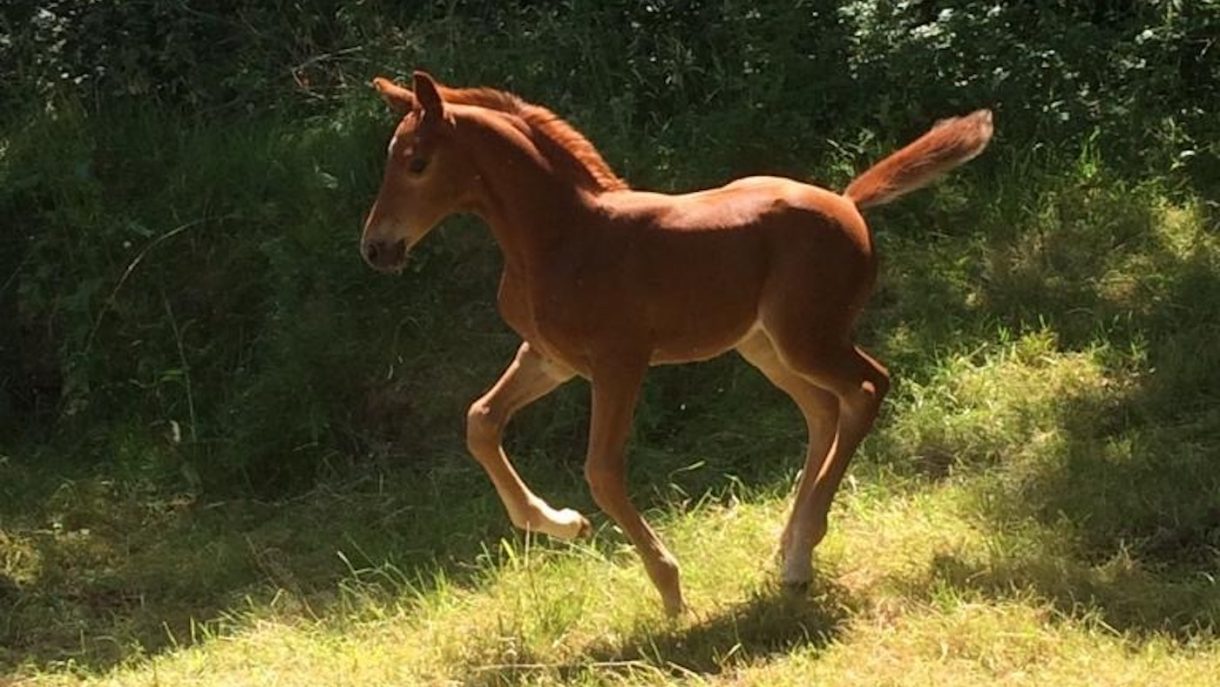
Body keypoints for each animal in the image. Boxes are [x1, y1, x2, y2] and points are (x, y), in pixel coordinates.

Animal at [361, 71, 993, 615]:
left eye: (416, 163)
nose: (376, 247)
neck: (561, 238)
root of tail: (848, 203)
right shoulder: (548, 357)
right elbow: (481, 421)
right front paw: (562, 524)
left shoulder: (620, 361)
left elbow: (602, 469)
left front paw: (668, 586)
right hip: (765, 347)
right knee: (822, 409)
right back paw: (792, 548)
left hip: (807, 336)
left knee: (865, 387)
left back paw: (798, 555)